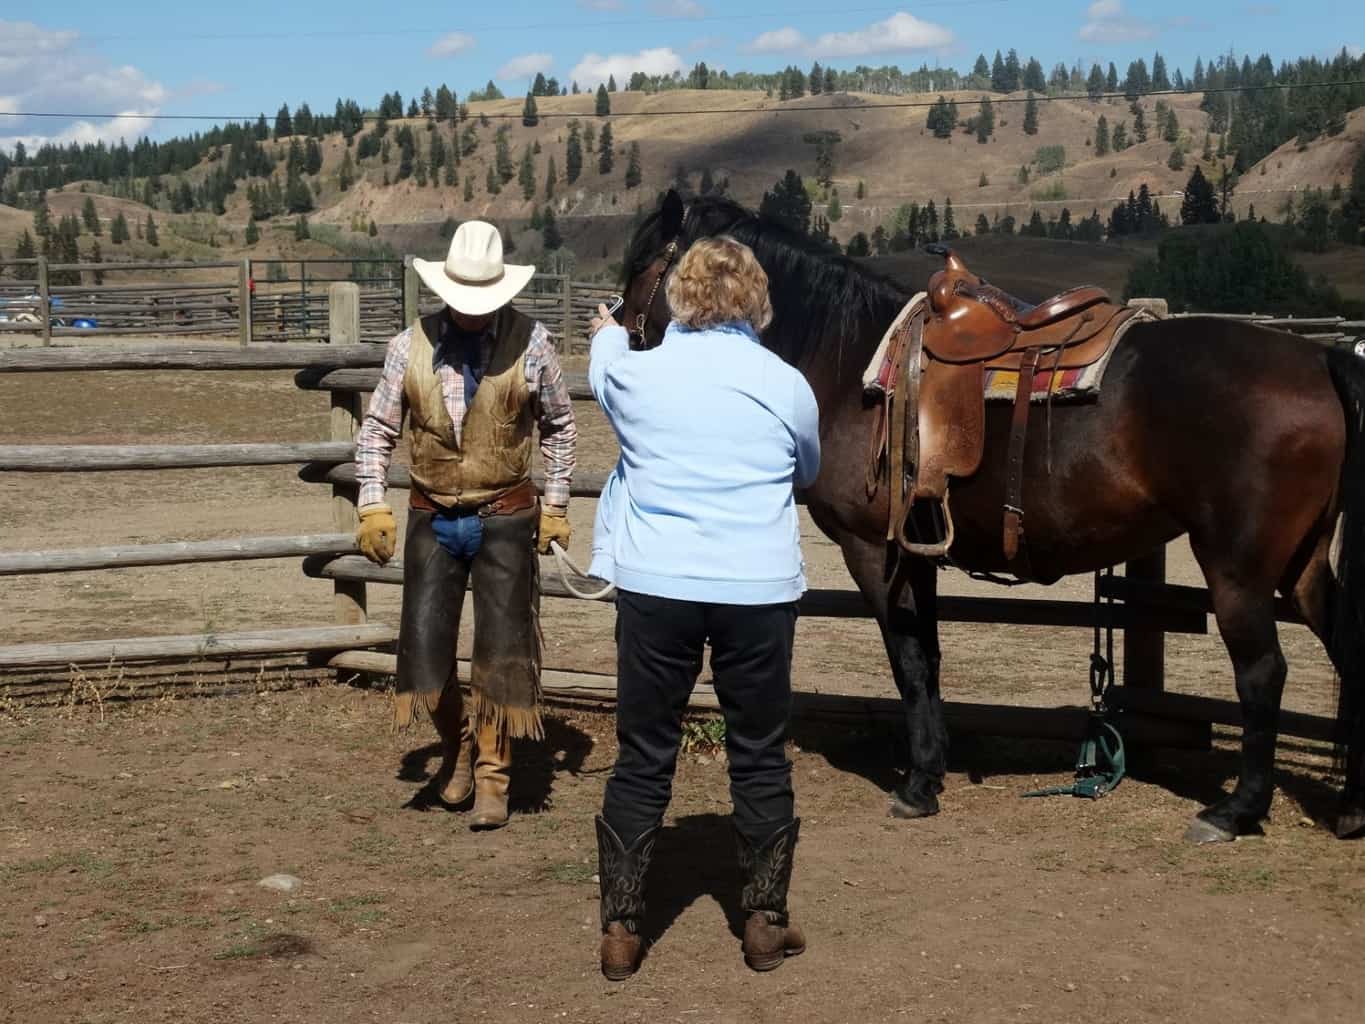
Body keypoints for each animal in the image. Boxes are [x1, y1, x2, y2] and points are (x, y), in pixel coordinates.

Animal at [618, 190, 1365, 843]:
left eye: (641, 263)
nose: (623, 331)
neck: (847, 361)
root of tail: (1319, 359)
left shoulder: (873, 550)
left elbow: (908, 658)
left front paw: (918, 785)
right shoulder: (915, 550)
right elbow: (927, 654)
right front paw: (931, 768)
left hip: (1238, 567)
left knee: (1262, 672)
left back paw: (1236, 811)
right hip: (1299, 567)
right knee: (1348, 649)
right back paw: (1352, 808)